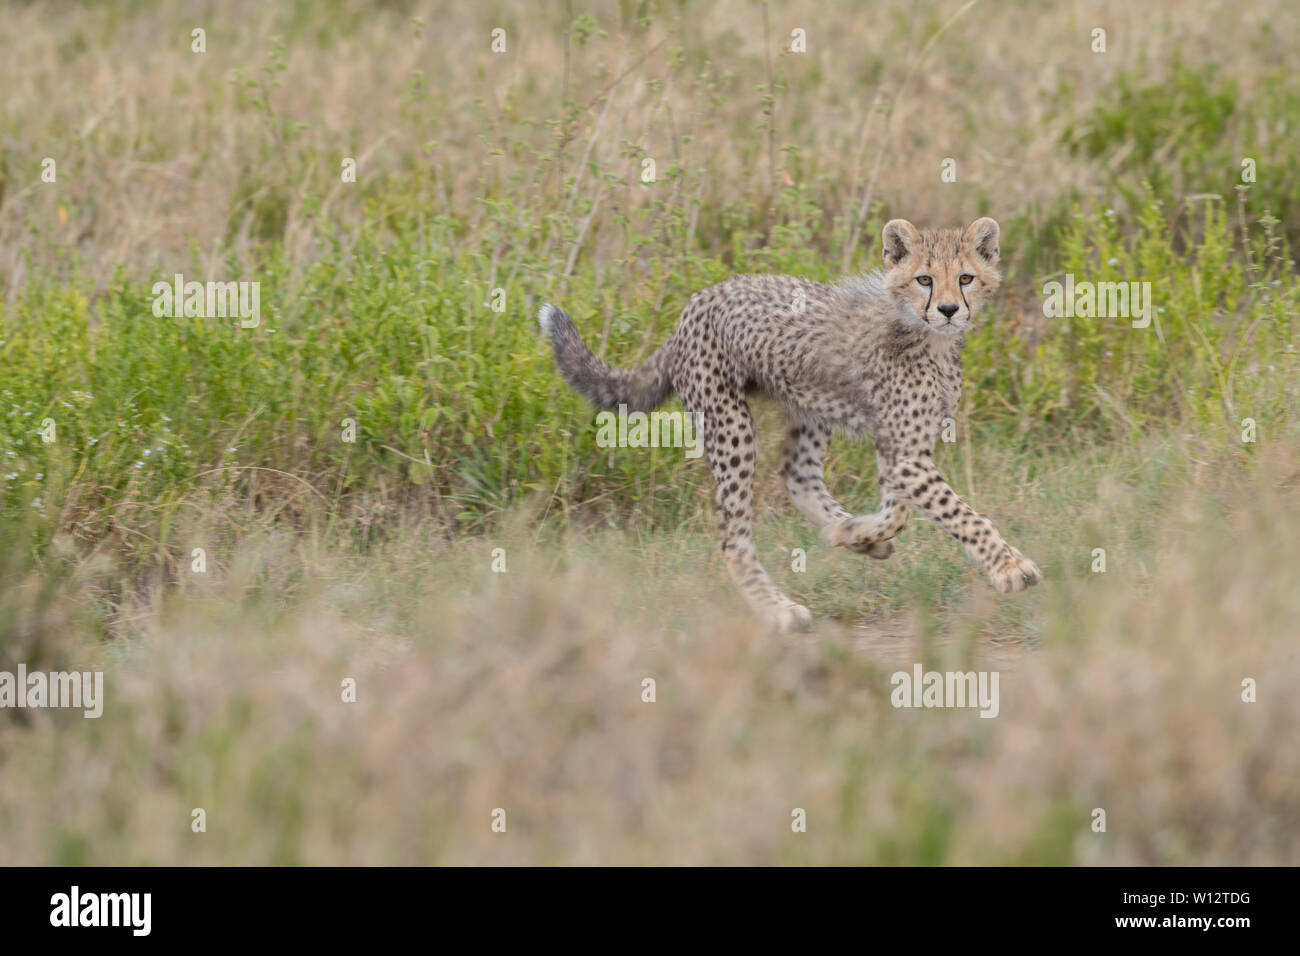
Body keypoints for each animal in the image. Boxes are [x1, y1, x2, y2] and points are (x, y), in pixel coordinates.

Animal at [538, 217, 1042, 632]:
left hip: (809, 406)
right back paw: (776, 609)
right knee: (734, 537)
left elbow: (898, 511)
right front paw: (1009, 568)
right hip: (731, 425)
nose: (950, 310)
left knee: (797, 475)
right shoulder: (905, 454)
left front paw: (856, 533)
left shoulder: (902, 447)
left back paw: (846, 533)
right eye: (924, 279)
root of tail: (696, 303)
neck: (925, 338)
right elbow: (955, 512)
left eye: (965, 278)